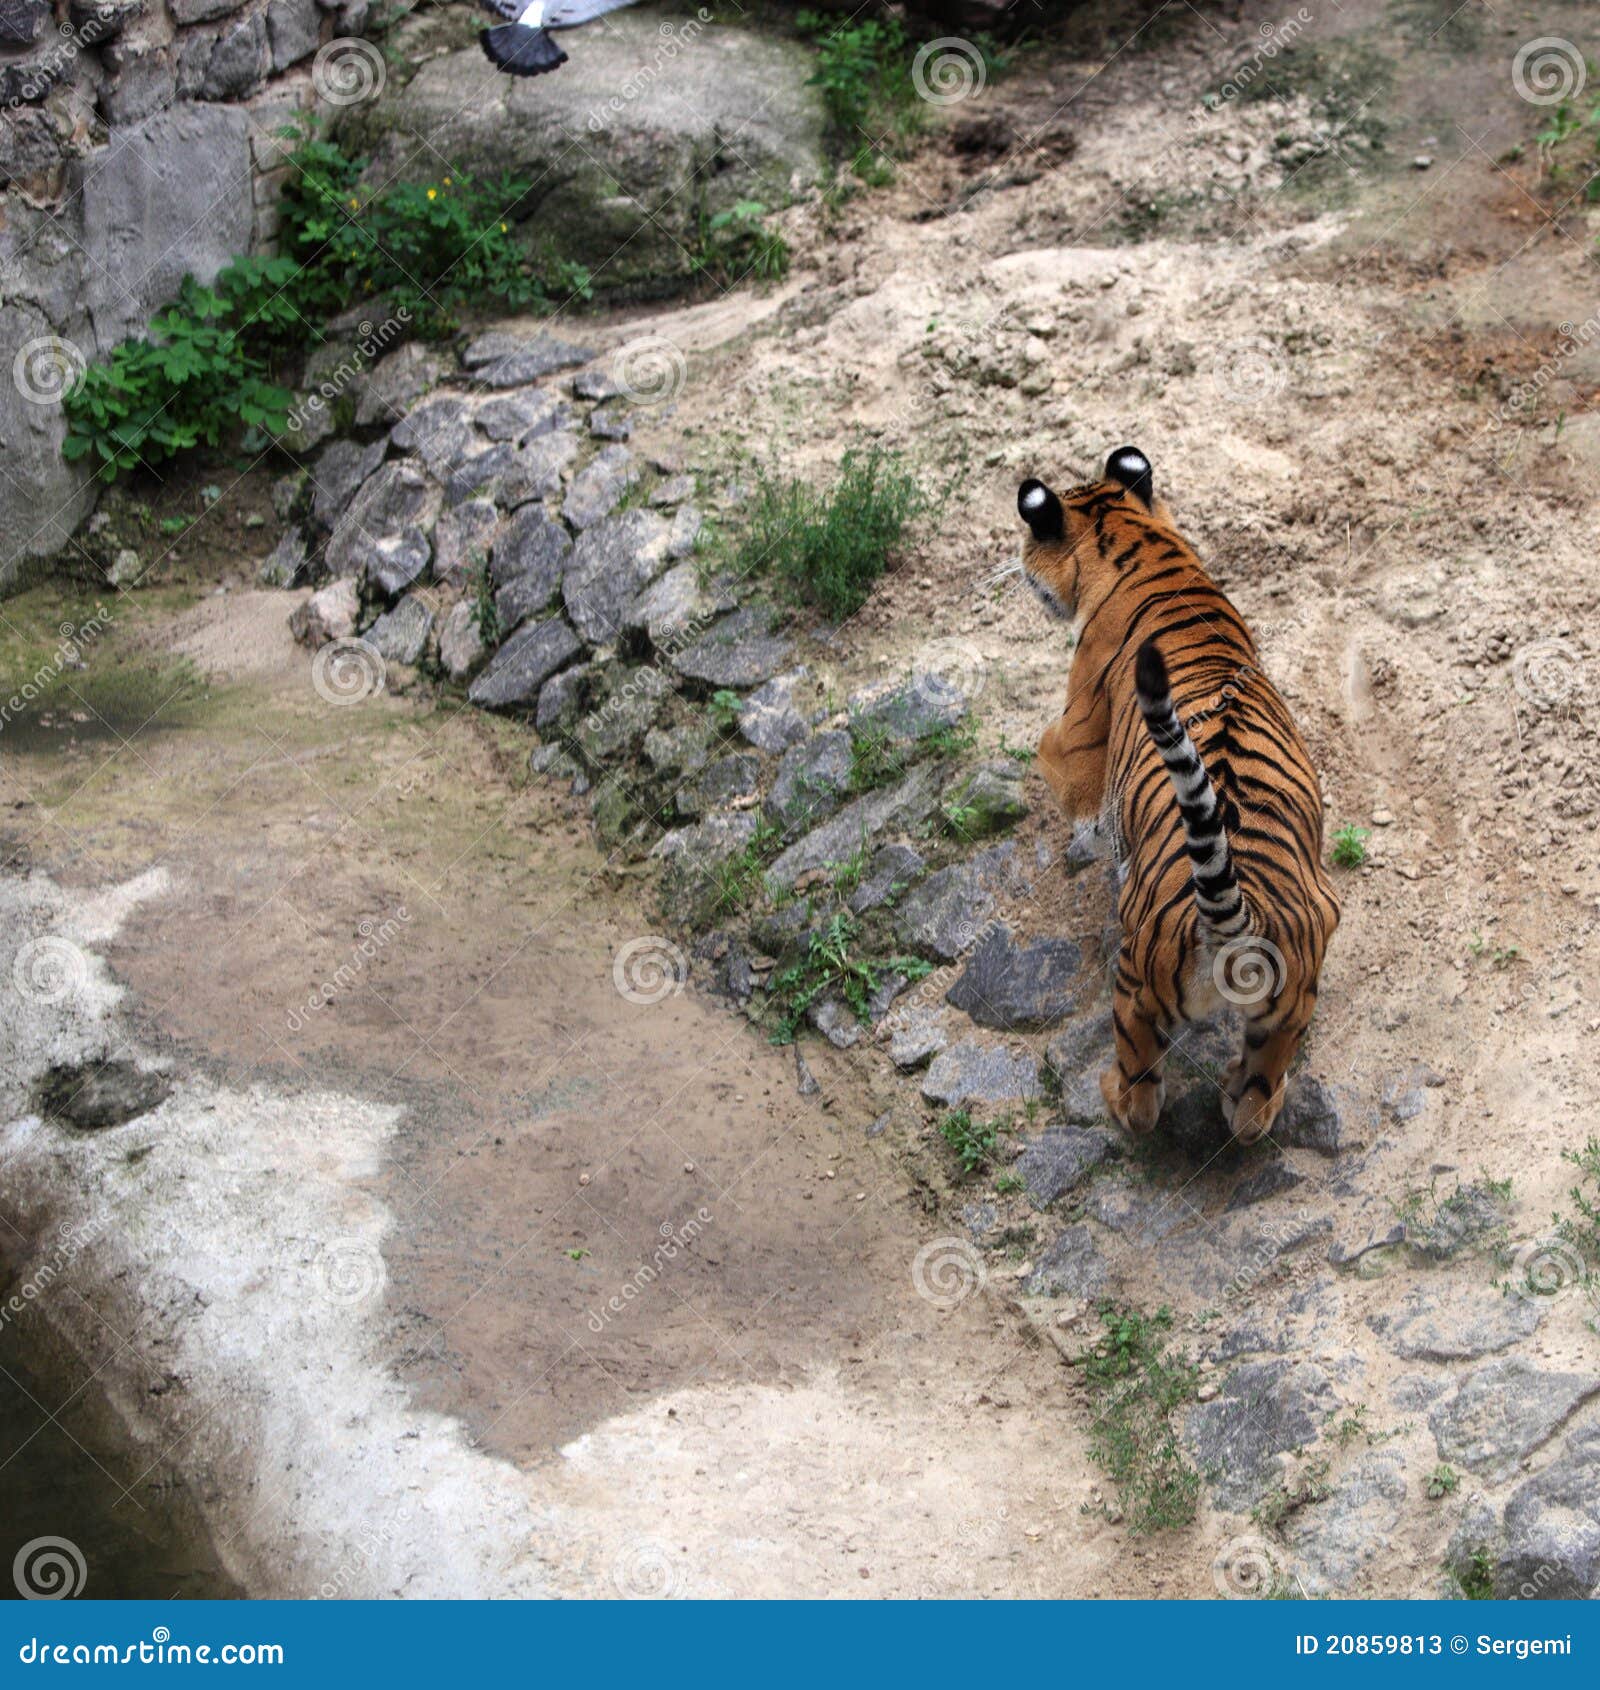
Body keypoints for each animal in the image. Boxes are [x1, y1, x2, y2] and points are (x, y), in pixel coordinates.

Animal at [1015, 447, 1340, 1144]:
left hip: (1137, 981)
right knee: (1254, 1107)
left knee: (1143, 1090)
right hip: (1296, 992)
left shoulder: (1077, 743)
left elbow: (1054, 763)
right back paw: (1245, 1097)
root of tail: (1241, 925)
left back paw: (1114, 1098)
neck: (1137, 538)